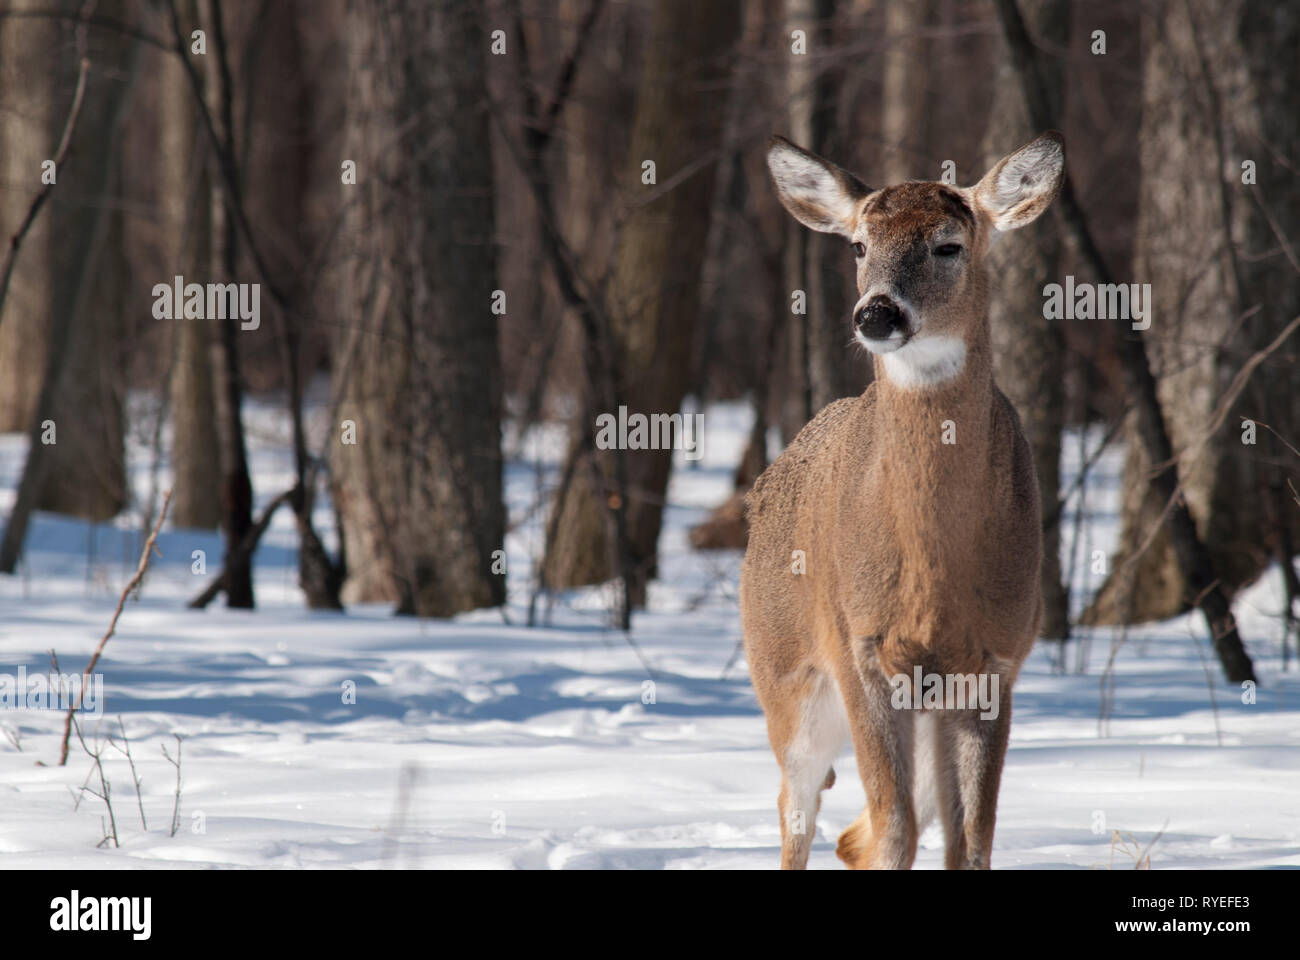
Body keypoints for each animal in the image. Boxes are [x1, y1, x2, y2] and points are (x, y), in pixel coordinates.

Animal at [740, 131, 1065, 869]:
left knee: (857, 831)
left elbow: (970, 839)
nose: (877, 314)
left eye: (948, 245)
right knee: (798, 806)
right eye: (859, 246)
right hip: (785, 672)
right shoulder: (858, 647)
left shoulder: (996, 659)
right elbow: (895, 830)